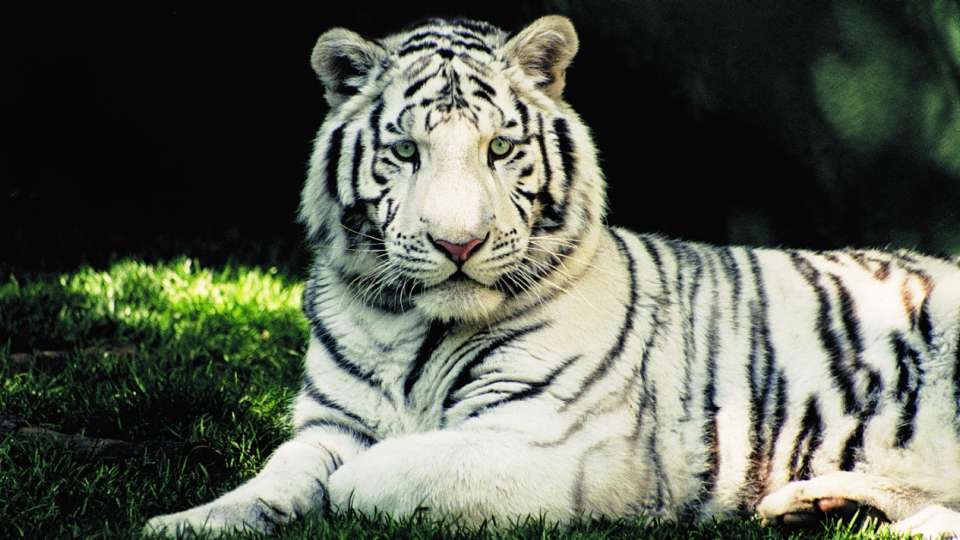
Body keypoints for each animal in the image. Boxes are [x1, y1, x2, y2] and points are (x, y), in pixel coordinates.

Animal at [142, 14, 960, 536]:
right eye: (405, 151)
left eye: (499, 148)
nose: (459, 243)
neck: (411, 330)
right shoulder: (328, 424)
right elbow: (274, 479)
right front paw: (183, 522)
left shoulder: (539, 439)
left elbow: (361, 481)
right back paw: (824, 506)